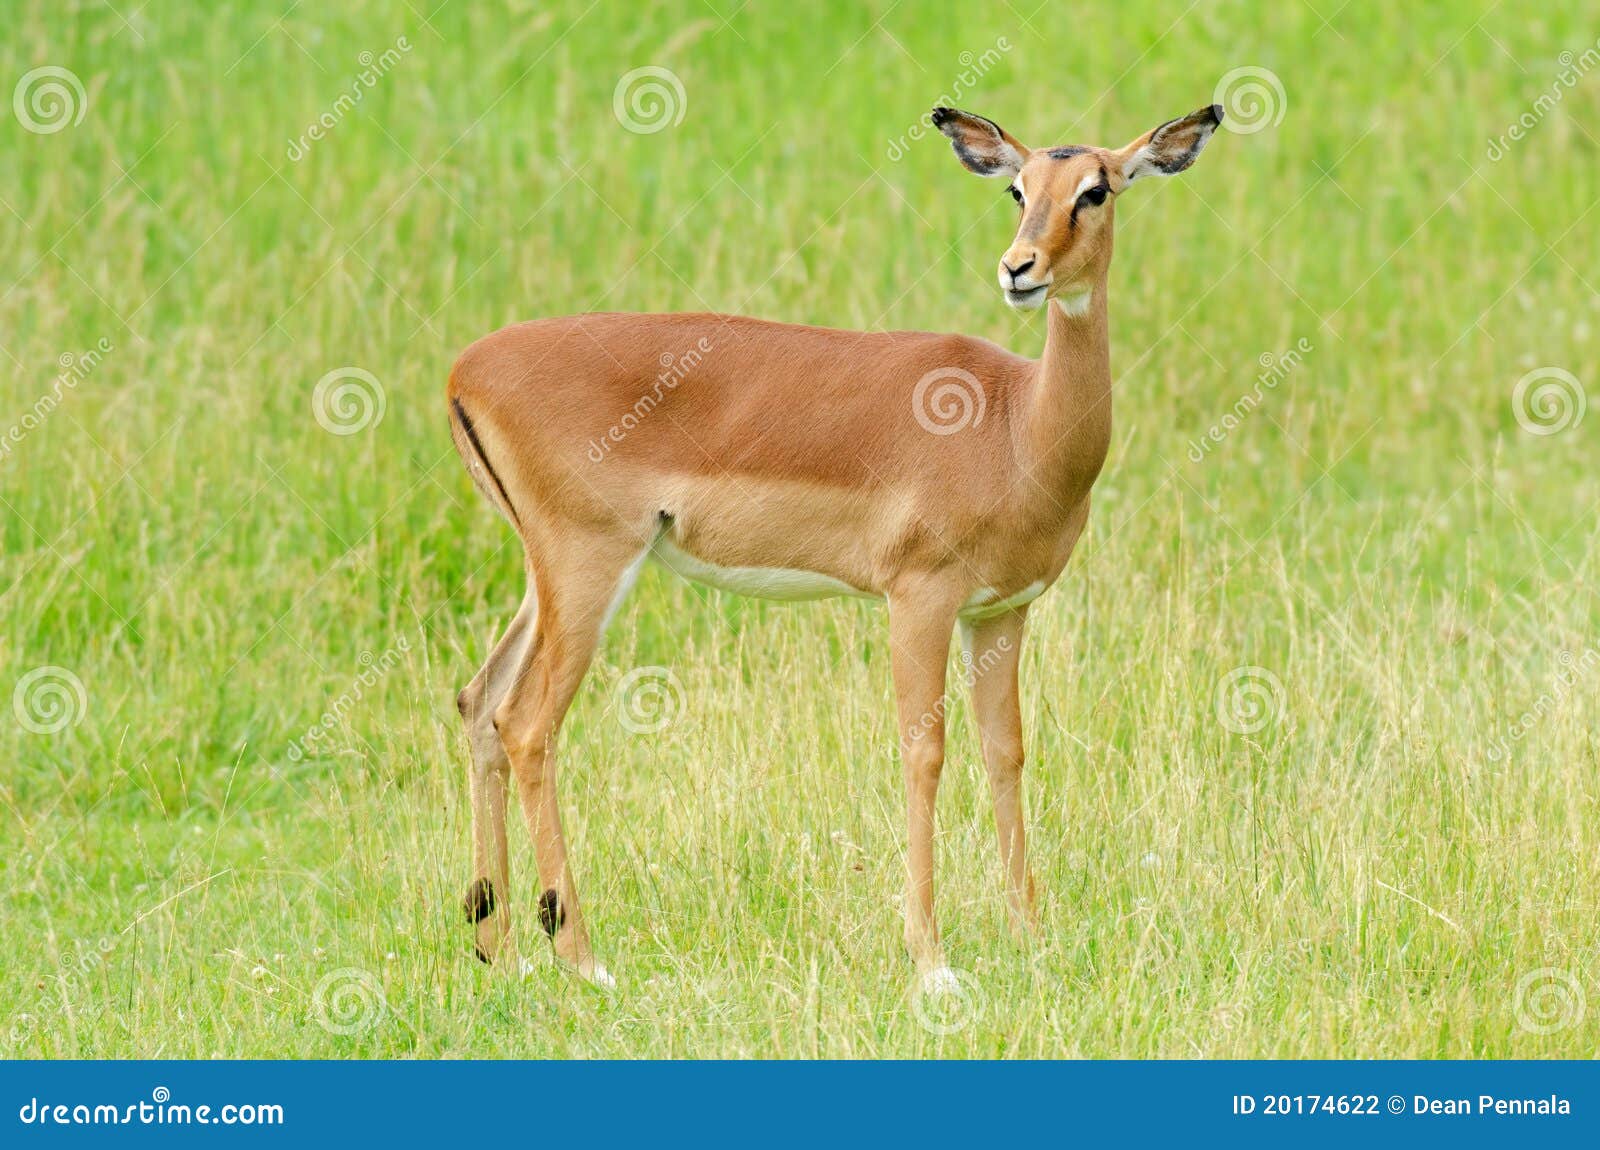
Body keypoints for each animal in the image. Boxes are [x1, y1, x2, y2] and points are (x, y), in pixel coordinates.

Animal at [447, 101, 1224, 992]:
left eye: (1095, 189)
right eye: (1018, 189)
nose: (1018, 269)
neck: (1015, 423)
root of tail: (464, 370)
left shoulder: (999, 612)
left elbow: (1006, 752)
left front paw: (1030, 937)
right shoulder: (917, 599)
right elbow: (924, 752)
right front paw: (932, 962)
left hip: (543, 580)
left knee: (478, 702)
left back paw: (498, 948)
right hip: (587, 569)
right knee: (526, 723)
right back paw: (582, 958)